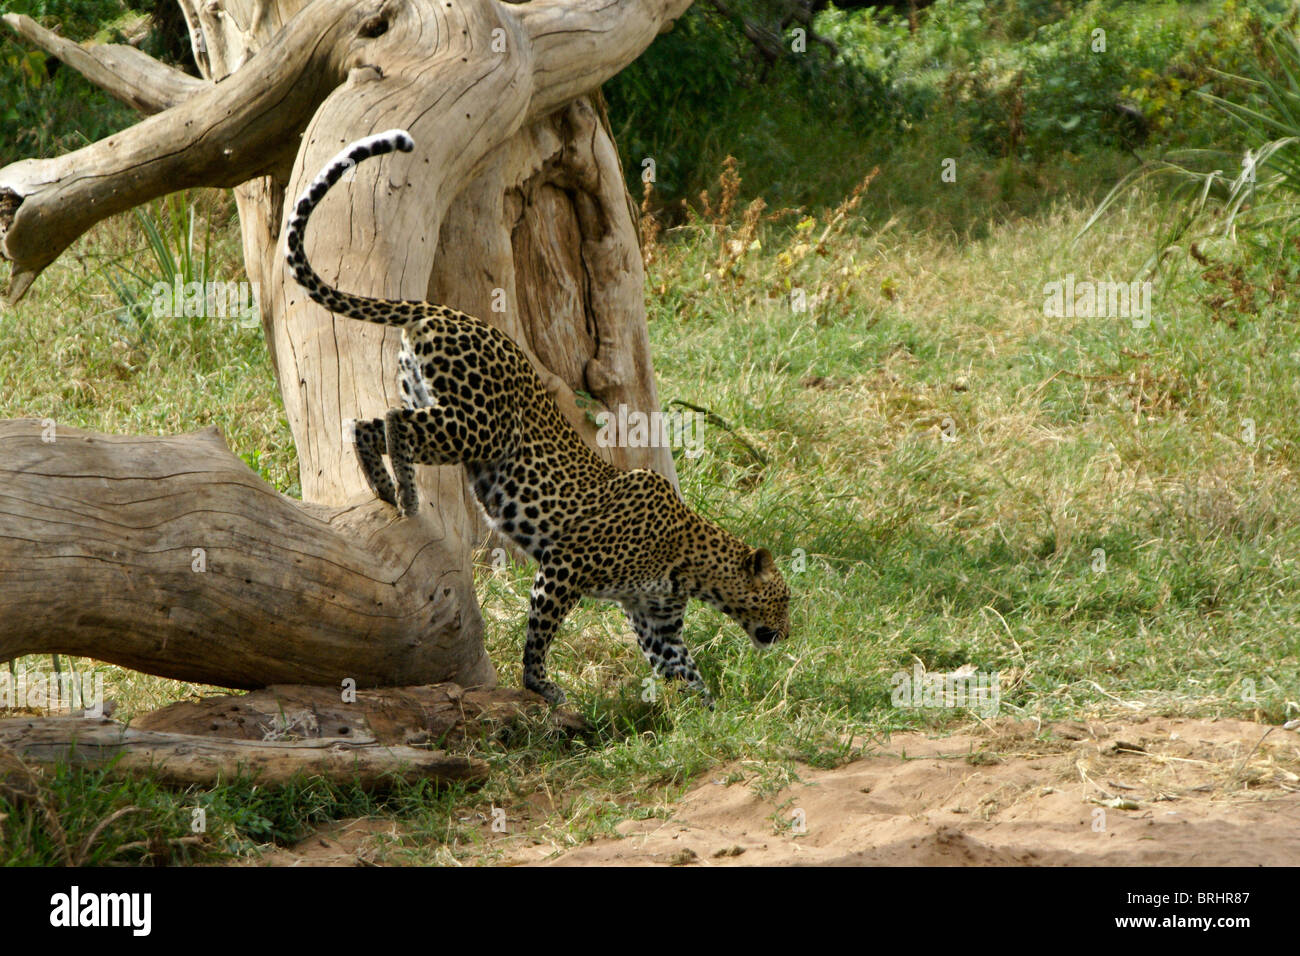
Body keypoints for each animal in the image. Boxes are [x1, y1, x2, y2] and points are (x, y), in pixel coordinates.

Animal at [284, 129, 790, 706]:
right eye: (783, 599)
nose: (787, 633)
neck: (691, 562)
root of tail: (441, 311)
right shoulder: (565, 566)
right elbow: (540, 632)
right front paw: (540, 687)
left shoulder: (656, 623)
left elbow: (684, 669)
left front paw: (715, 714)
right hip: (476, 427)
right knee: (390, 422)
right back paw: (406, 494)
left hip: (433, 400)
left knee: (367, 423)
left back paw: (387, 489)